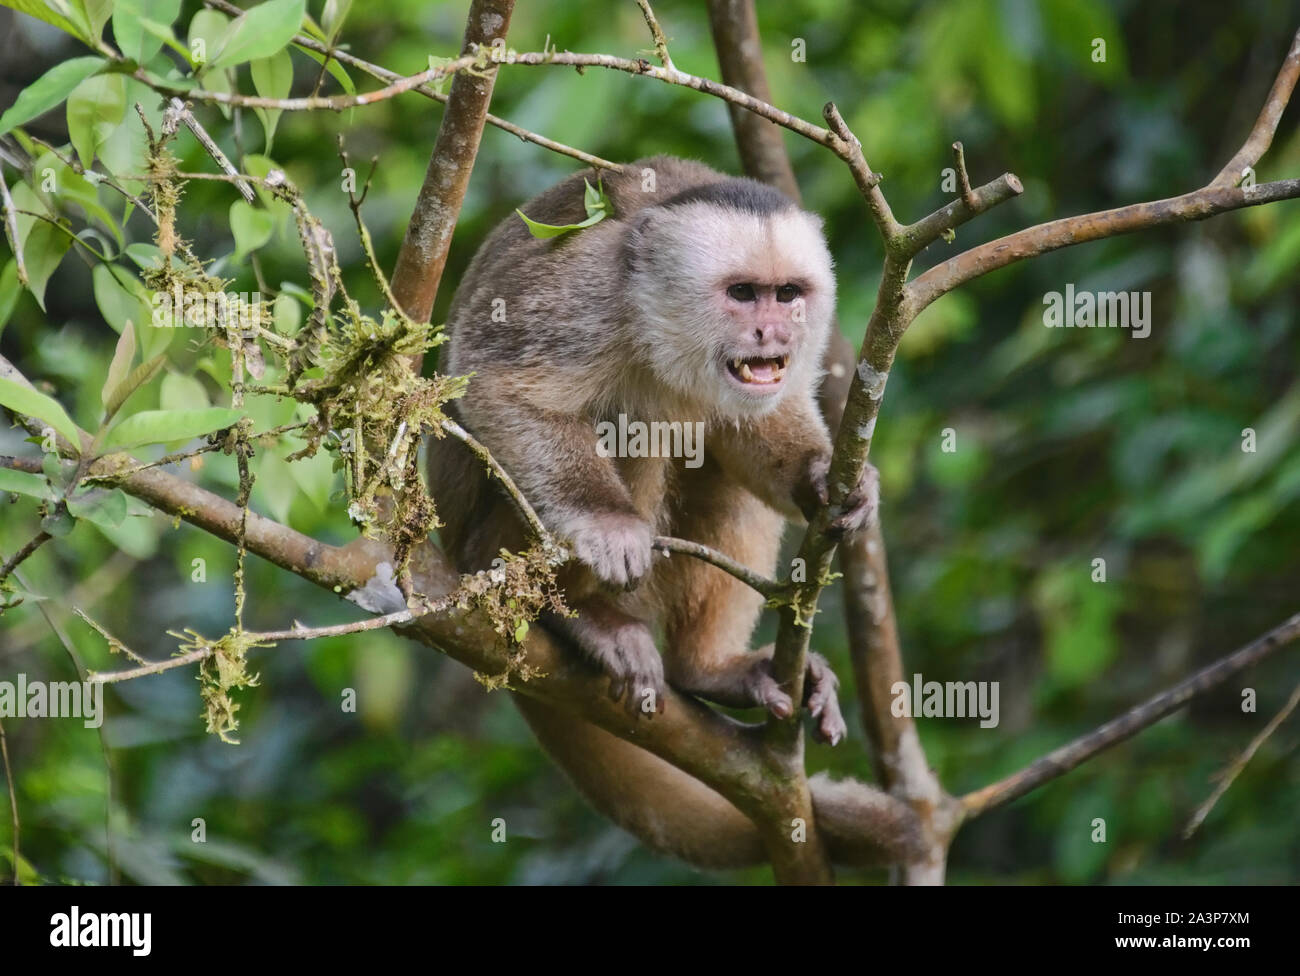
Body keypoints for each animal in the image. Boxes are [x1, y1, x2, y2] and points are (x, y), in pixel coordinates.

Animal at [427, 155, 911, 869]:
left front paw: (829, 478)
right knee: (634, 425)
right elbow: (498, 387)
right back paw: (578, 617)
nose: (773, 331)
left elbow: (760, 433)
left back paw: (708, 668)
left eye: (787, 293)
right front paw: (605, 525)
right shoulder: (587, 296)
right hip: (481, 550)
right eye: (743, 294)